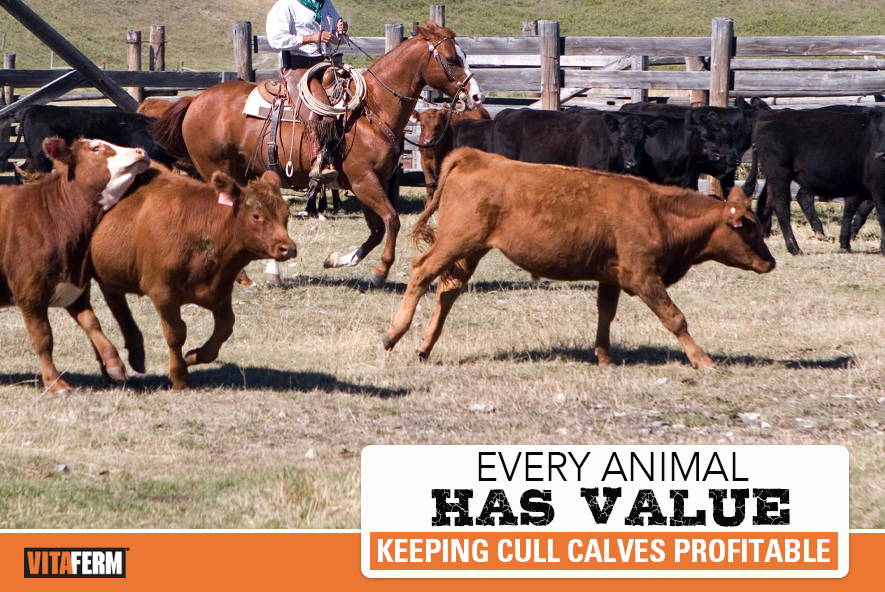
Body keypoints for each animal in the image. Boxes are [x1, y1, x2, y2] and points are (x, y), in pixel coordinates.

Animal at [0, 137, 150, 394]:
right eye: (96, 148)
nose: (141, 151)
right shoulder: (30, 294)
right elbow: (43, 338)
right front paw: (55, 382)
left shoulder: (75, 287)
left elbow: (92, 324)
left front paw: (114, 365)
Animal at [86, 165, 296, 389]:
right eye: (256, 216)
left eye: (286, 213)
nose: (288, 248)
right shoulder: (163, 292)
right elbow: (176, 334)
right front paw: (179, 376)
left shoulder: (220, 290)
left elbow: (225, 327)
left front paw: (193, 356)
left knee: (115, 301)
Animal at [383, 148, 775, 370]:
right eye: (750, 228)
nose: (770, 262)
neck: (658, 211)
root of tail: (478, 157)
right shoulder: (643, 276)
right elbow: (675, 318)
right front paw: (703, 360)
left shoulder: (611, 277)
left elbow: (606, 314)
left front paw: (603, 356)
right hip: (455, 242)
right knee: (421, 271)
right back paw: (393, 333)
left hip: (470, 249)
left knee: (447, 289)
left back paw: (425, 346)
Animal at [745, 107, 885, 255]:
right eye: (880, 132)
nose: (880, 154)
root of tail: (766, 118)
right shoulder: (876, 185)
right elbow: (881, 215)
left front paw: (845, 244)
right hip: (779, 174)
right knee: (781, 208)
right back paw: (794, 248)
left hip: (772, 179)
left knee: (765, 204)